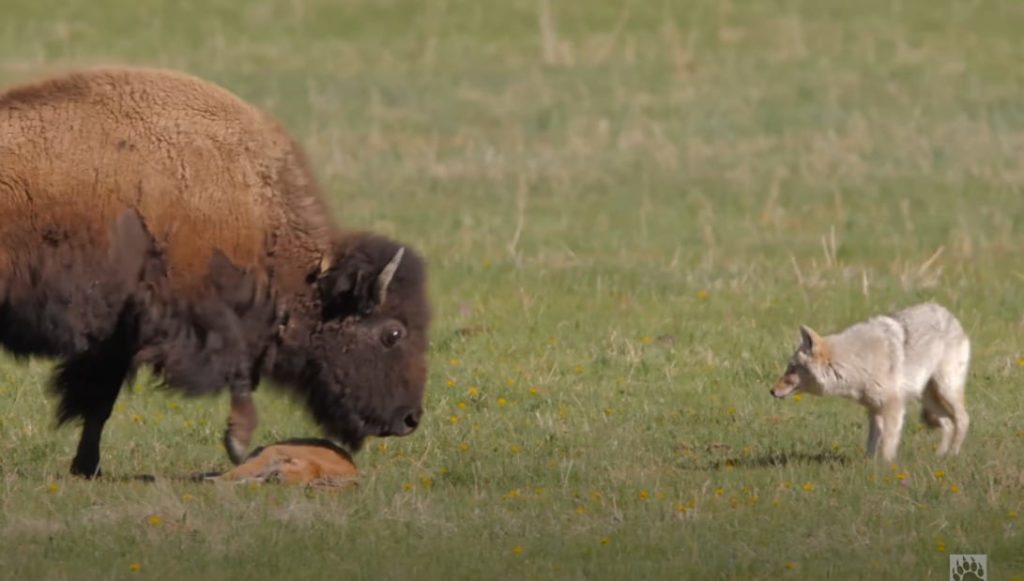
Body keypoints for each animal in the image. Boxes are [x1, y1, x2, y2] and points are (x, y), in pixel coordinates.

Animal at [0, 67, 431, 477]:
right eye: (392, 334)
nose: (410, 419)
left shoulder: (117, 335)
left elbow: (98, 401)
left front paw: (87, 467)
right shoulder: (205, 318)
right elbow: (237, 373)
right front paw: (239, 443)